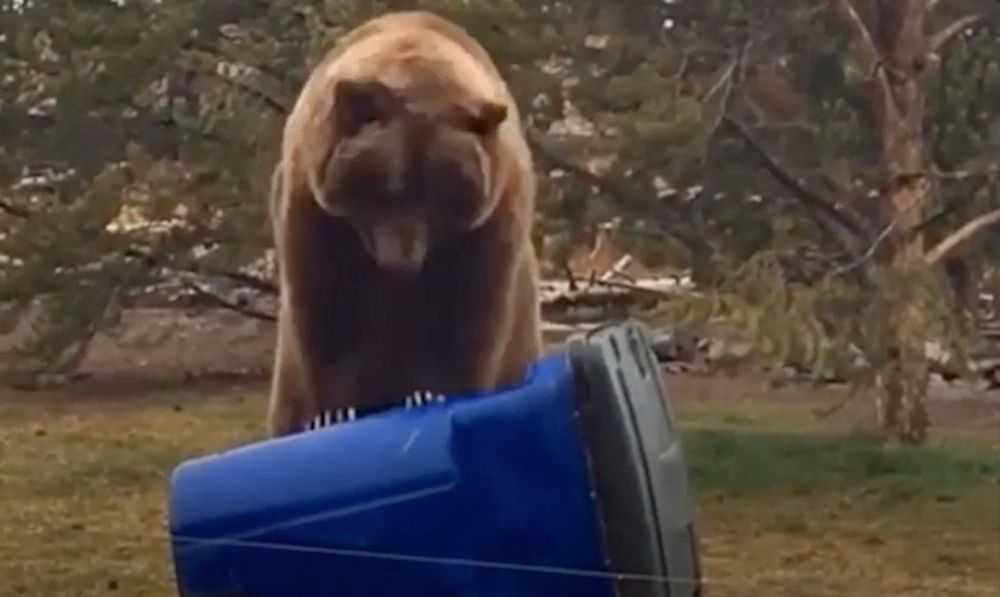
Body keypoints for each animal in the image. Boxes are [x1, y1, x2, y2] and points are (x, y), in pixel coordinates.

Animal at [266, 10, 543, 437]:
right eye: (389, 187)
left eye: (441, 196)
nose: (403, 263)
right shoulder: (313, 213)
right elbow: (326, 313)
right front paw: (334, 411)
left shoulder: (490, 224)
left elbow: (469, 320)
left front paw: (430, 393)